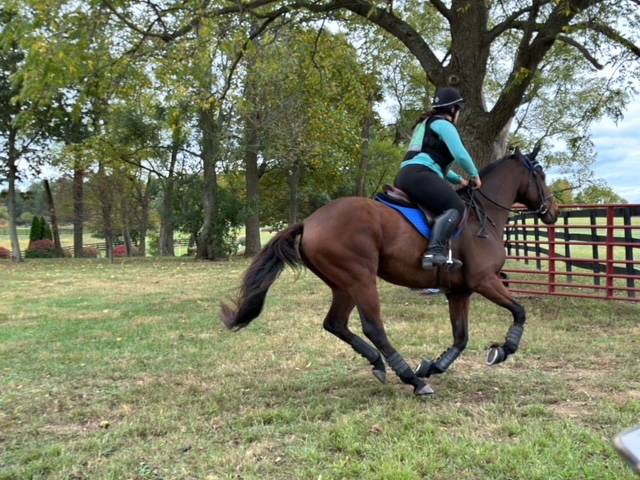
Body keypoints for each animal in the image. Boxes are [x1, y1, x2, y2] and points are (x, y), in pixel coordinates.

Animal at [220, 148, 559, 395]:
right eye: (541, 174)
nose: (553, 211)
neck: (482, 219)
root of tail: (310, 221)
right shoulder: (484, 281)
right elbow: (519, 311)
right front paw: (502, 351)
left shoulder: (459, 292)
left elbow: (461, 338)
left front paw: (434, 366)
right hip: (361, 280)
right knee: (374, 328)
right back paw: (412, 379)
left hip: (344, 286)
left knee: (335, 324)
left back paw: (382, 365)